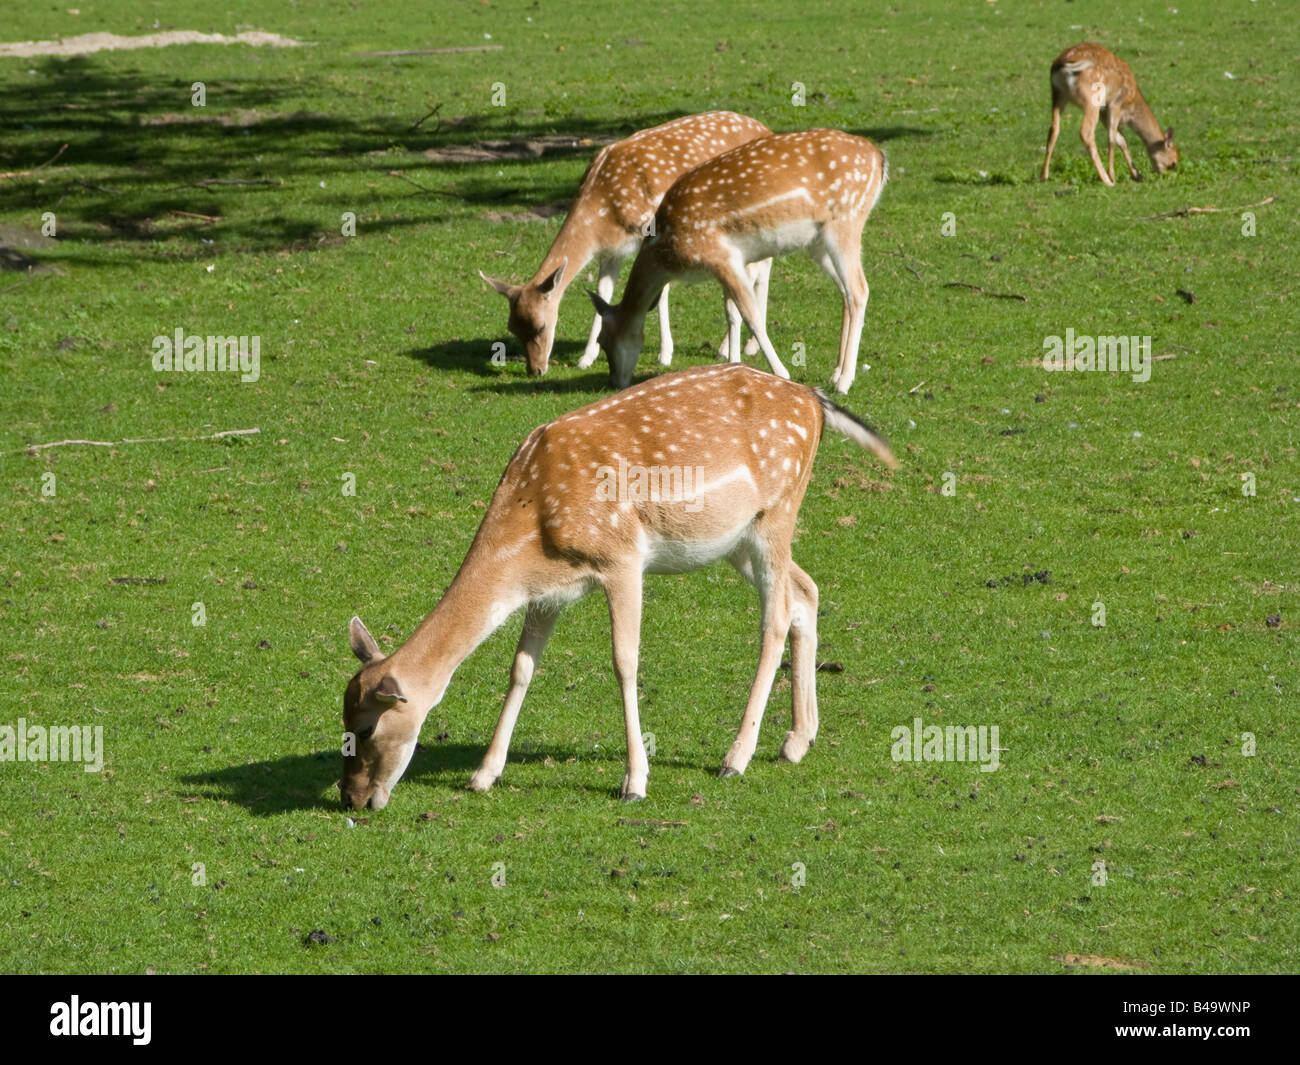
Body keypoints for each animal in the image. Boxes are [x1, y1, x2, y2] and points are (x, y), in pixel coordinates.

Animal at [341, 362, 897, 809]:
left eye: (365, 729)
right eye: (341, 720)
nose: (353, 799)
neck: (530, 527)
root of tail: (813, 399)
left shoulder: (622, 559)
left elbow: (625, 662)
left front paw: (635, 783)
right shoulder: (548, 593)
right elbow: (521, 667)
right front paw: (483, 774)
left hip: (777, 511)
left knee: (776, 615)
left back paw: (735, 756)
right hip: (737, 539)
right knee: (805, 591)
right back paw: (797, 740)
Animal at [479, 111, 773, 376]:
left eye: (540, 326)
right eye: (512, 327)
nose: (535, 370)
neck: (604, 211)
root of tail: (765, 128)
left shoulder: (652, 234)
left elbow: (661, 293)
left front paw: (665, 354)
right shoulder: (610, 251)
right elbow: (603, 292)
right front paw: (586, 358)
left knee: (760, 268)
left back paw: (733, 348)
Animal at [590, 128, 887, 395]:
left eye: (603, 339)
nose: (613, 383)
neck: (665, 249)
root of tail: (879, 157)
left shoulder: (721, 255)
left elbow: (751, 314)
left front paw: (782, 373)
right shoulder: (728, 263)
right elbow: (732, 312)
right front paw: (733, 364)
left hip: (845, 221)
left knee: (859, 290)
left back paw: (844, 382)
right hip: (818, 242)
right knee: (845, 291)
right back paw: (836, 371)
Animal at [1041, 42, 1178, 186]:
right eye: (1173, 163)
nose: (1163, 176)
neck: (1132, 102)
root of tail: (1063, 65)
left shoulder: (1104, 112)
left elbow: (1121, 139)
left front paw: (1137, 175)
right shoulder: (1115, 104)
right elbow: (1112, 138)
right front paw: (1113, 176)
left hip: (1058, 94)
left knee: (1054, 128)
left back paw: (1044, 176)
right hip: (1092, 99)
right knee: (1086, 132)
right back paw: (1106, 179)